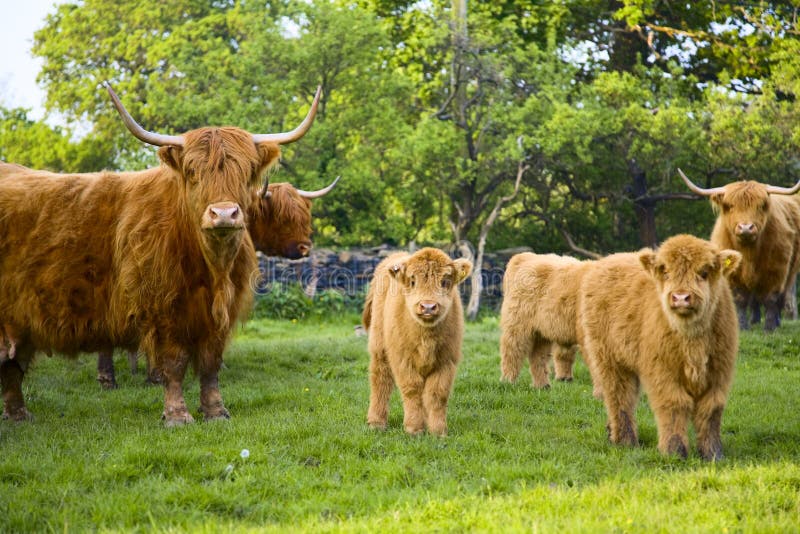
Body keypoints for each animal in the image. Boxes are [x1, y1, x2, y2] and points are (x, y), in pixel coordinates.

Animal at [363, 248, 472, 436]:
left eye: (445, 281)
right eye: (413, 281)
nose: (428, 306)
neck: (426, 339)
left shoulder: (446, 361)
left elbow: (437, 393)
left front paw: (438, 430)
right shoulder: (402, 360)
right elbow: (412, 390)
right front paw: (414, 428)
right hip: (379, 346)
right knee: (381, 378)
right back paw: (376, 422)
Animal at [499, 252, 595, 390]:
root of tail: (524, 256)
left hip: (543, 331)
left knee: (540, 356)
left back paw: (545, 384)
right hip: (517, 325)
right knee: (512, 352)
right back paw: (507, 381)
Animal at [577, 234, 741, 460]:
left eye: (704, 272)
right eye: (666, 272)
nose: (681, 297)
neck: (692, 339)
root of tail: (608, 259)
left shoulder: (719, 372)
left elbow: (711, 409)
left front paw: (713, 453)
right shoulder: (662, 371)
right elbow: (674, 404)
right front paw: (674, 451)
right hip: (609, 360)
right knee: (619, 397)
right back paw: (625, 441)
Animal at [678, 169, 800, 331]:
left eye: (760, 206)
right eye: (730, 206)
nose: (746, 228)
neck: (749, 252)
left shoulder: (776, 270)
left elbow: (770, 298)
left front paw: (769, 328)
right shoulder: (733, 273)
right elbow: (740, 299)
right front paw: (742, 326)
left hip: (790, 271)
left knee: (780, 297)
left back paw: (776, 322)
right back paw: (754, 320)